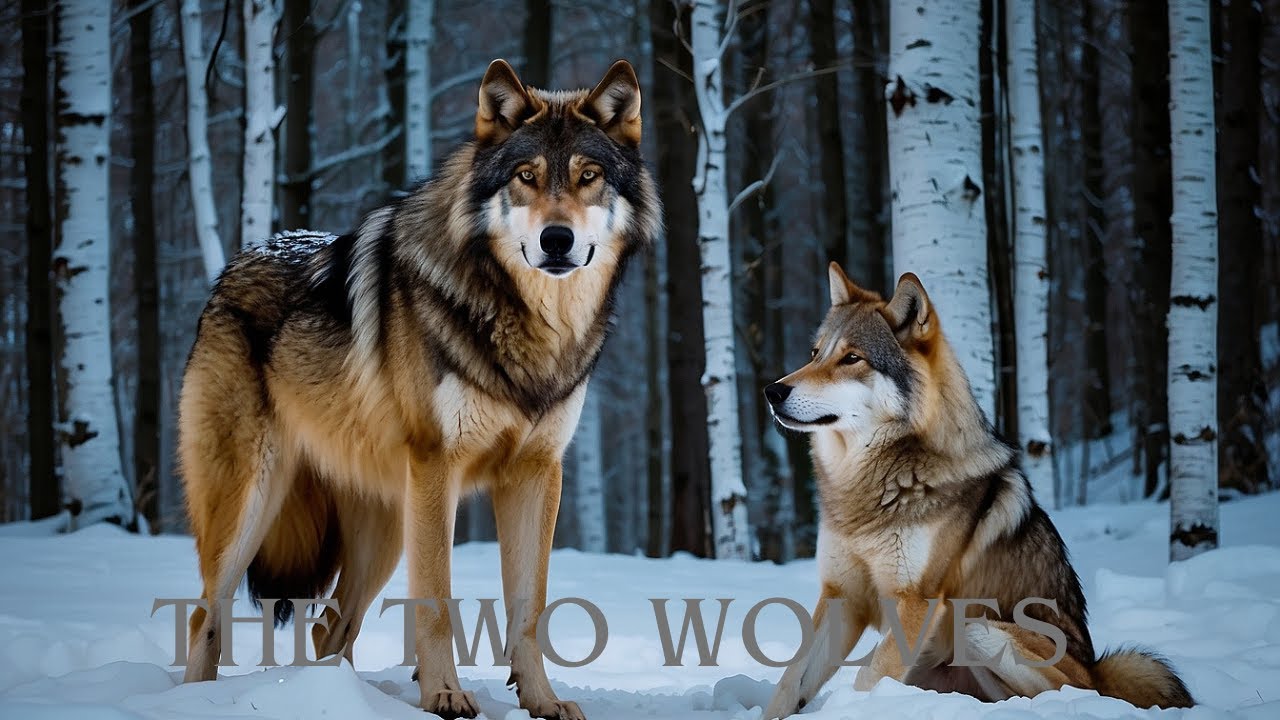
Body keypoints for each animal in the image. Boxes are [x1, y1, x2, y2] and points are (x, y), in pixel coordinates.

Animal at [178, 59, 659, 720]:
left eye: (589, 177)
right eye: (526, 177)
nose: (556, 240)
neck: (530, 325)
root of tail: (231, 269)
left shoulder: (537, 472)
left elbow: (529, 609)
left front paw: (542, 701)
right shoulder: (439, 467)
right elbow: (435, 602)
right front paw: (444, 696)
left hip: (381, 532)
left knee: (330, 627)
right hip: (251, 506)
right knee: (206, 615)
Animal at [759, 264, 1193, 718]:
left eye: (851, 358)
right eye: (814, 354)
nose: (772, 391)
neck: (866, 486)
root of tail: (1097, 674)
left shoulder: (916, 602)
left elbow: (869, 679)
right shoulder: (842, 597)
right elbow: (790, 682)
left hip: (983, 629)